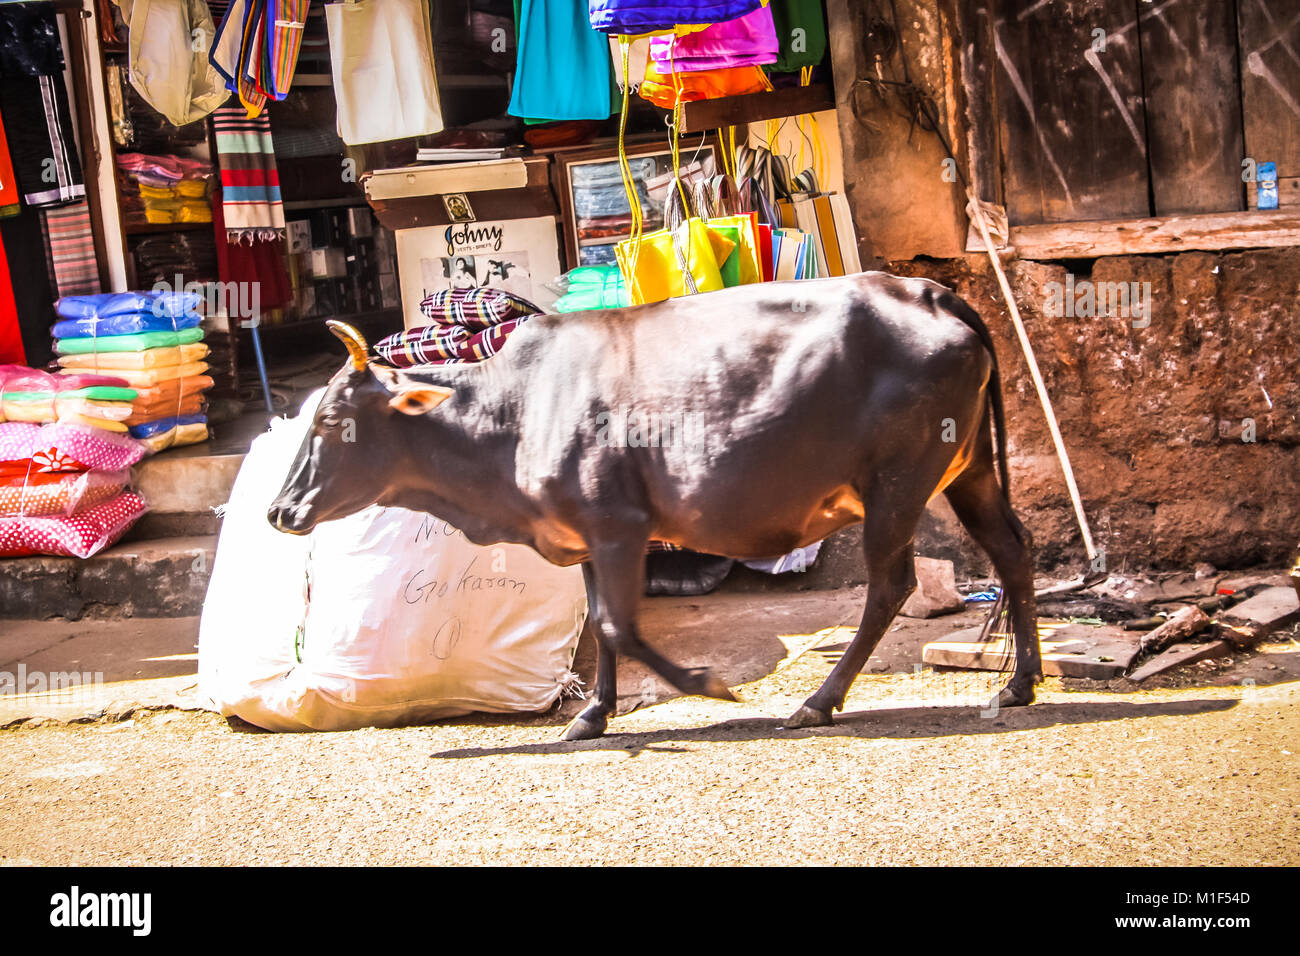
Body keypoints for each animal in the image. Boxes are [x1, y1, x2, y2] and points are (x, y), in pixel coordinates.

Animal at [268, 273, 1040, 740]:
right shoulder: (585, 534)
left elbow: (617, 624)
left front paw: (708, 685)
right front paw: (593, 716)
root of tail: (929, 291)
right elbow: (603, 627)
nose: (280, 512)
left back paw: (817, 701)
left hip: (896, 487)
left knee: (891, 586)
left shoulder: (621, 527)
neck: (513, 413)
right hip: (969, 474)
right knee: (1012, 549)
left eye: (332, 422)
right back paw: (1019, 684)